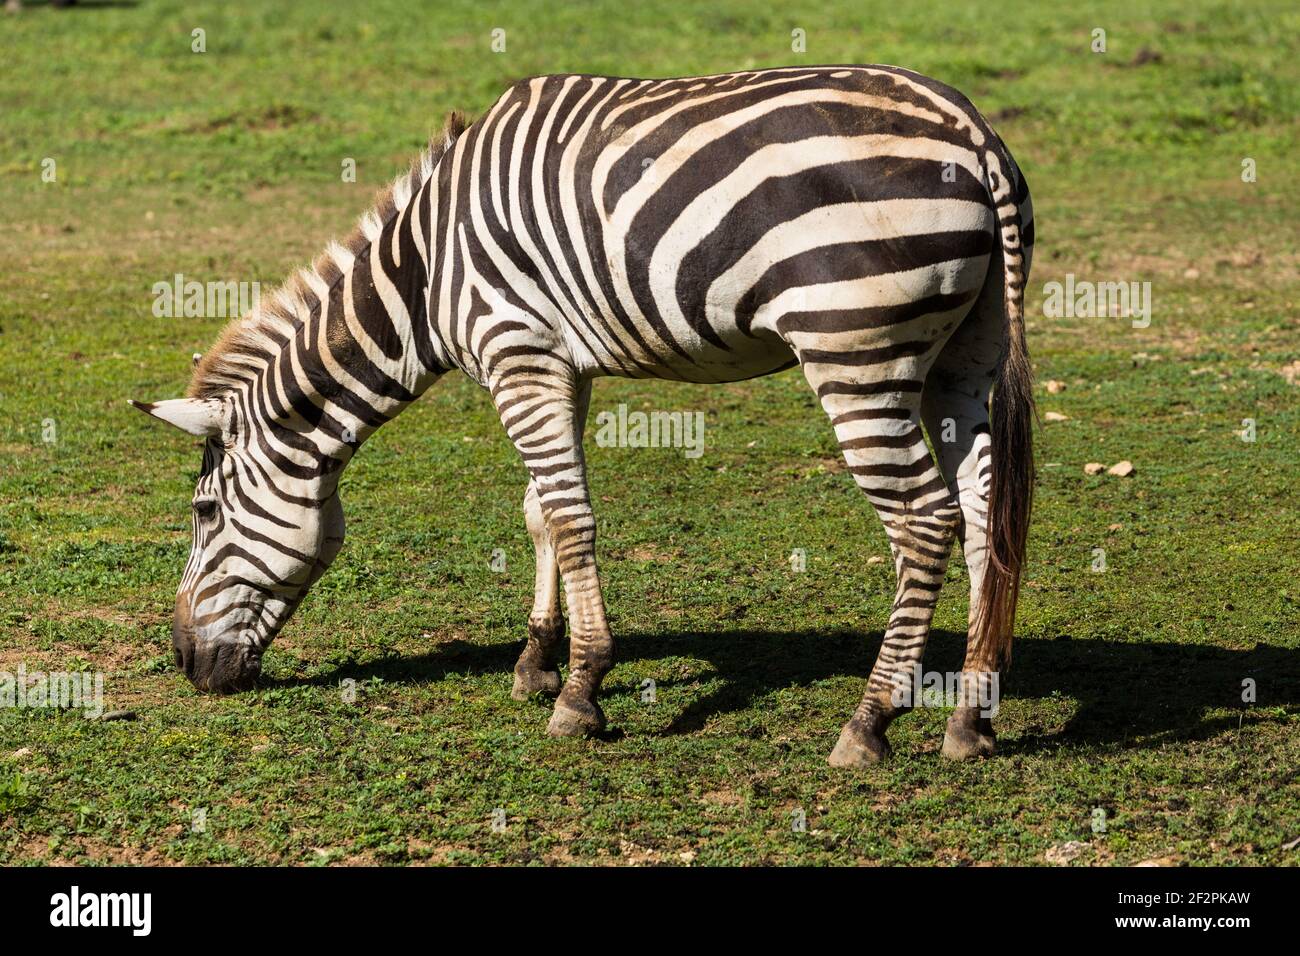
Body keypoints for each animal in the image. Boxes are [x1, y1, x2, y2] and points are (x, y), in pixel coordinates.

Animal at [131, 66, 1035, 765]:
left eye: (203, 513)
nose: (183, 662)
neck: (421, 274)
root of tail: (973, 134)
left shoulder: (516, 351)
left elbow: (569, 518)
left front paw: (581, 691)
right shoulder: (561, 361)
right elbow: (539, 510)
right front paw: (537, 660)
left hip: (854, 350)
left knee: (923, 520)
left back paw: (870, 720)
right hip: (963, 358)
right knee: (985, 513)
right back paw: (971, 713)